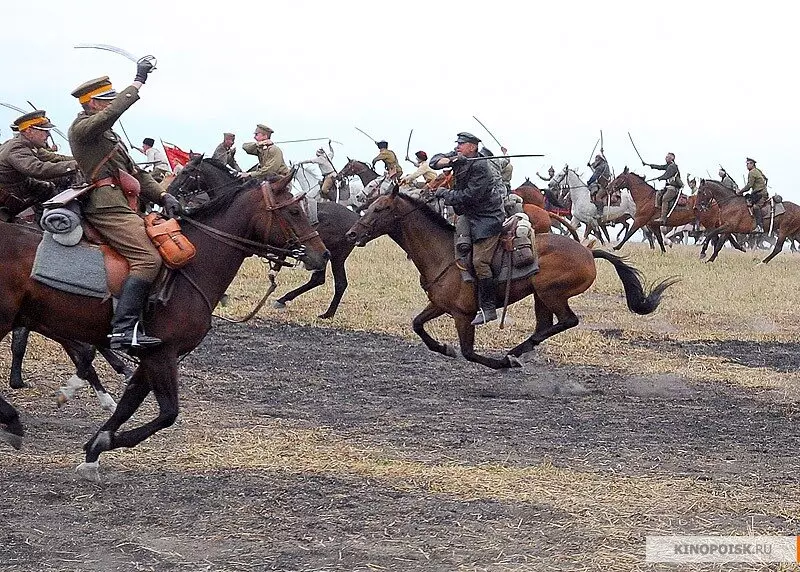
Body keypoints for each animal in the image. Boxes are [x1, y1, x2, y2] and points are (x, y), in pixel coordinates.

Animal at [0, 172, 328, 480]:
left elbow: (128, 404)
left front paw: (94, 451)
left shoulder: (150, 357)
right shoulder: (162, 355)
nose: (322, 254)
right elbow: (168, 413)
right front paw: (104, 442)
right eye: (294, 211)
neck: (192, 268)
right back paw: (12, 419)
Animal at [346, 188, 680, 370]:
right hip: (540, 297)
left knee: (568, 321)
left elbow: (469, 353)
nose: (351, 233)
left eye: (381, 208)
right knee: (547, 325)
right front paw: (444, 348)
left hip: (550, 293)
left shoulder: (463, 315)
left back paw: (514, 354)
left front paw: (498, 363)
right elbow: (418, 326)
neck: (444, 253)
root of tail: (588, 252)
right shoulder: (441, 306)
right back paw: (520, 350)